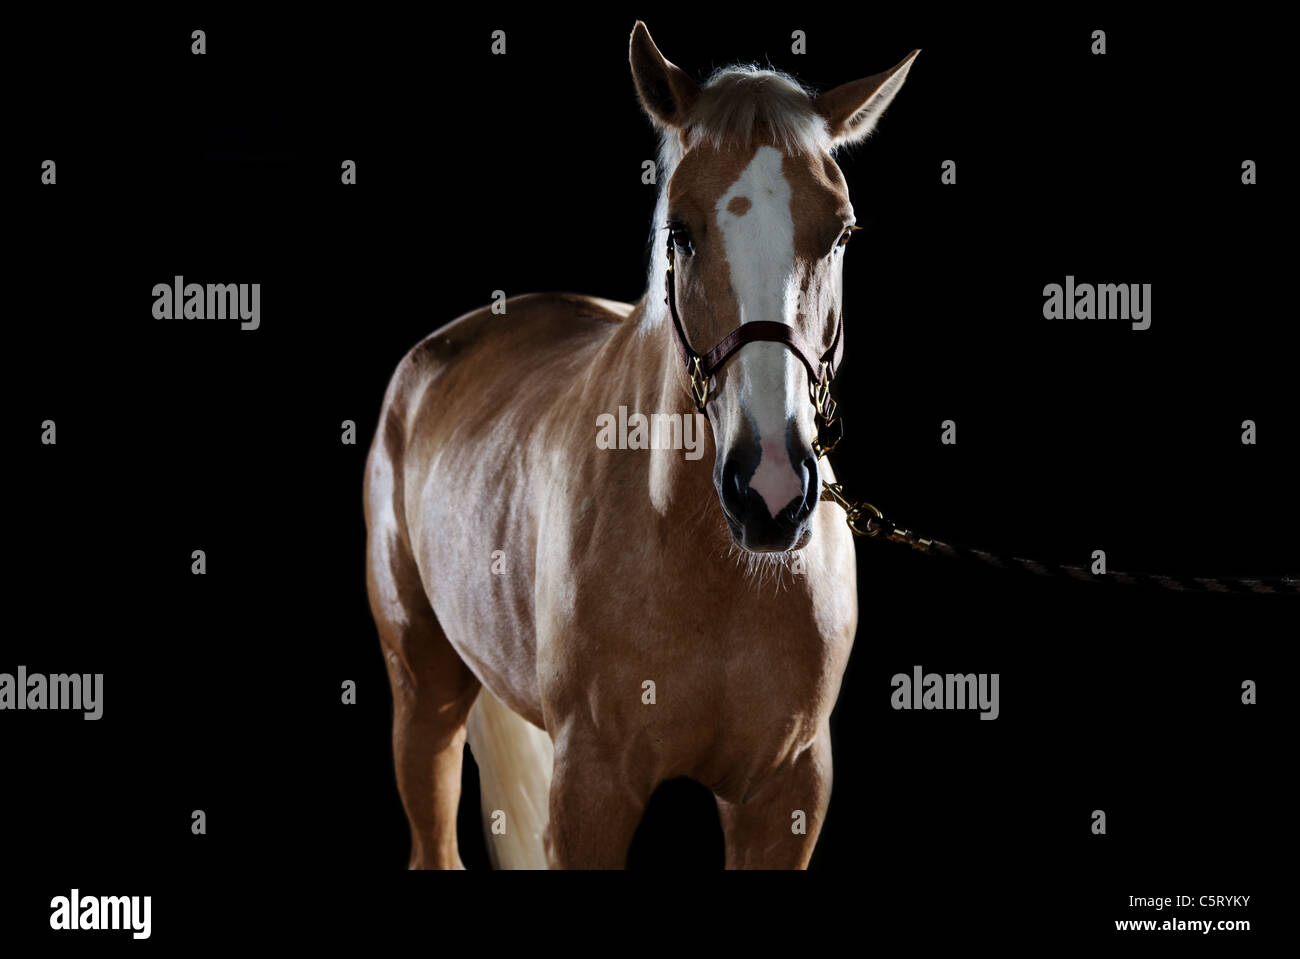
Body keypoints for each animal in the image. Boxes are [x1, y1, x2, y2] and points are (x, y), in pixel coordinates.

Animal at [363, 21, 918, 869]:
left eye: (842, 231)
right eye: (680, 231)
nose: (770, 492)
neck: (711, 563)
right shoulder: (590, 790)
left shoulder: (788, 789)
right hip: (422, 694)